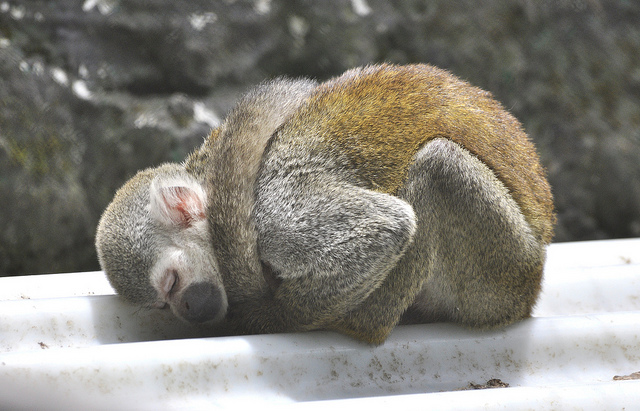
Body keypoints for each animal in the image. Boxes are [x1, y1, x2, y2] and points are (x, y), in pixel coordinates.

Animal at [95, 63, 555, 344]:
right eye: (161, 304)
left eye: (171, 284)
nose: (188, 312)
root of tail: (528, 292)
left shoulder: (273, 208)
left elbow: (386, 228)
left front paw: (265, 318)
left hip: (502, 272)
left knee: (438, 164)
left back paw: (363, 324)